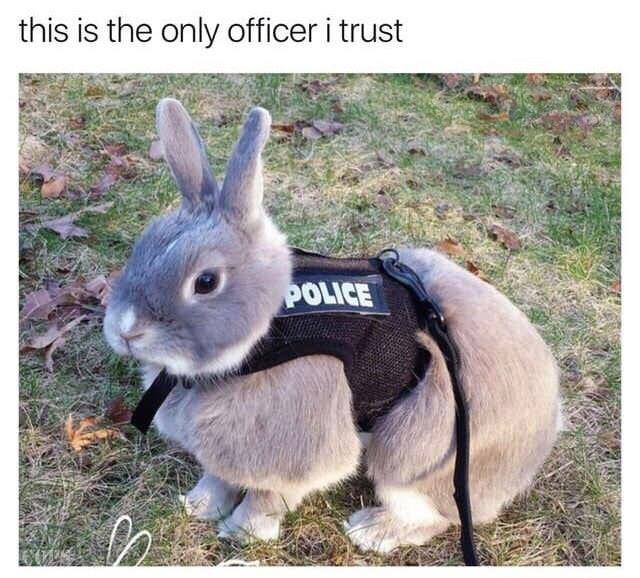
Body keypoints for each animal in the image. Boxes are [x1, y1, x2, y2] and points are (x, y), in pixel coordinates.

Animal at [103, 98, 561, 554]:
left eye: (206, 282)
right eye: (143, 245)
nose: (124, 330)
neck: (266, 332)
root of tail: (547, 423)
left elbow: (267, 495)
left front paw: (243, 534)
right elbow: (220, 477)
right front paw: (198, 507)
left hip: (421, 456)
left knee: (432, 515)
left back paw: (370, 531)